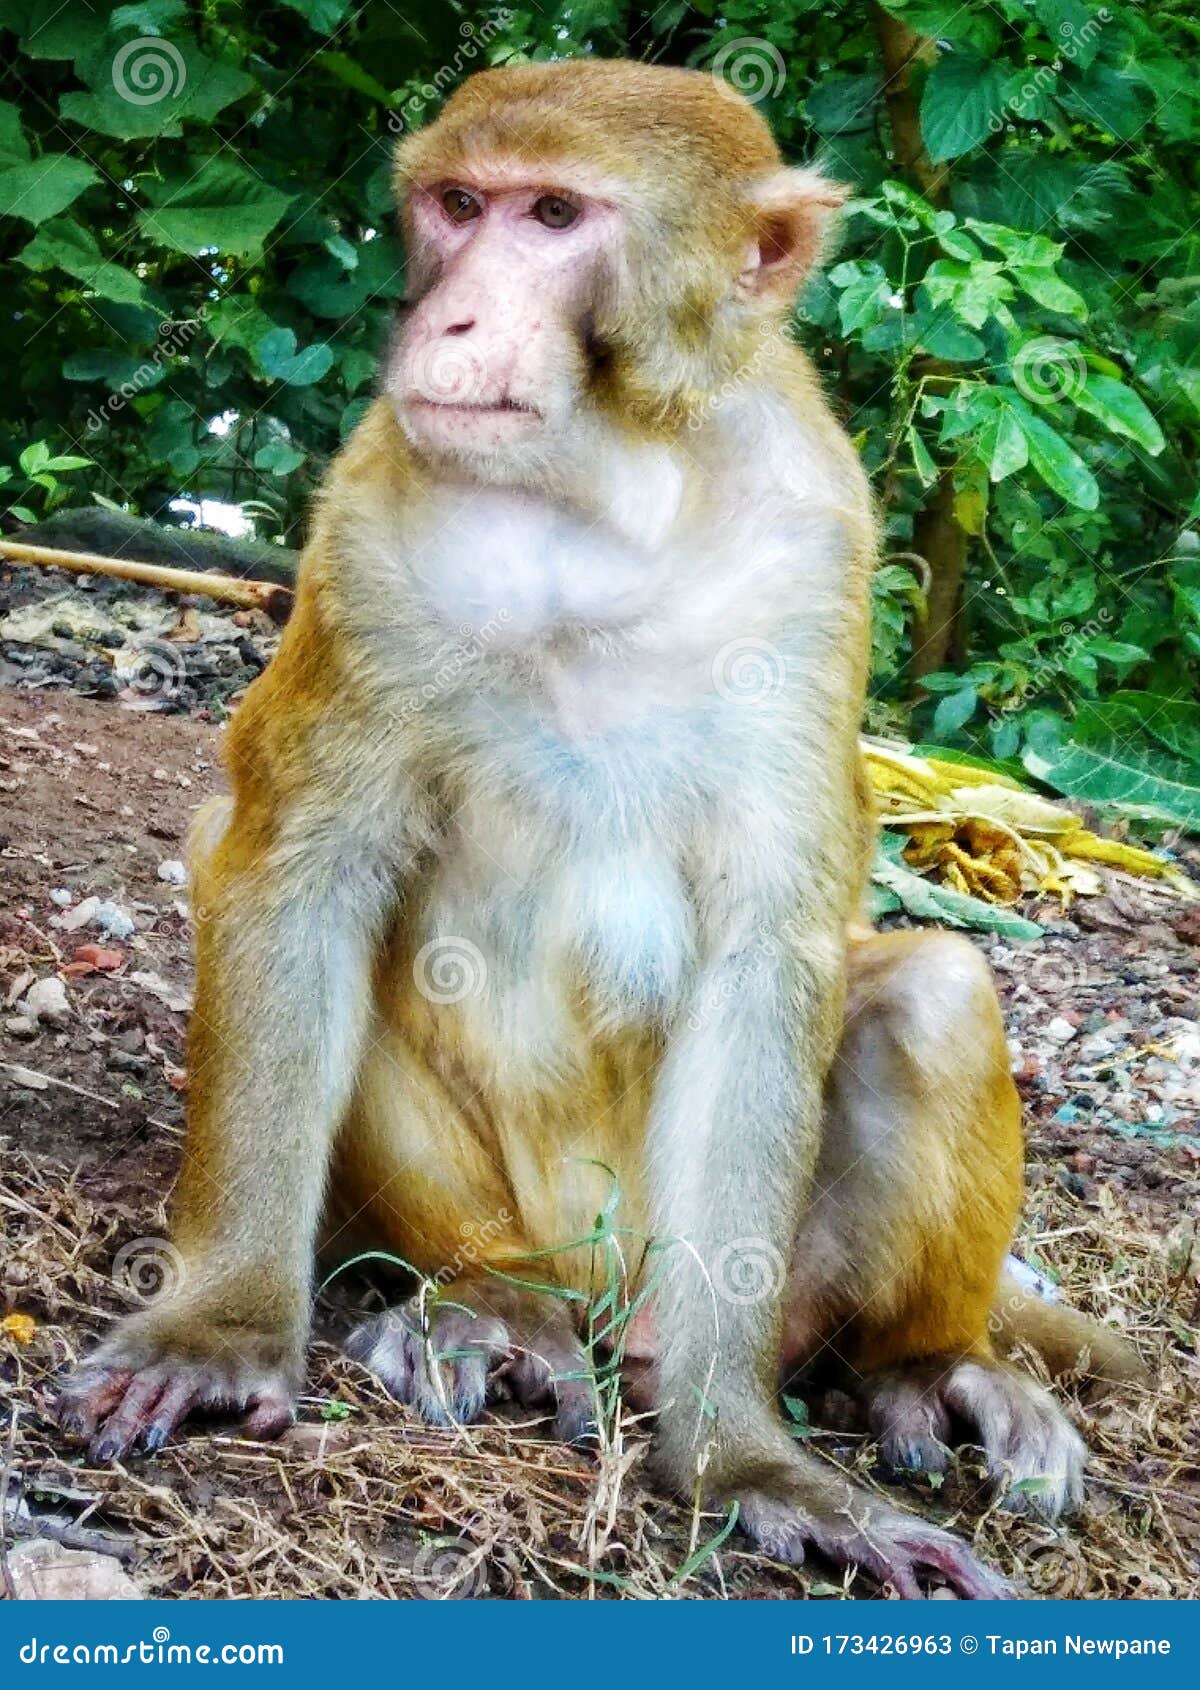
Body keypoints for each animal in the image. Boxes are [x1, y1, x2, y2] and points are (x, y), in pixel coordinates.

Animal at [57, 58, 1145, 1600]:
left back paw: (926, 1364)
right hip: (537, 1229)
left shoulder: (819, 545)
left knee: (933, 991)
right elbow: (296, 869)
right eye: (460, 205)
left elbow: (770, 951)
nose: (448, 318)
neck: (607, 492)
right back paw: (497, 1311)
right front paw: (223, 1328)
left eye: (557, 216)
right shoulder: (371, 509)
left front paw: (738, 1452)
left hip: (739, 1270)